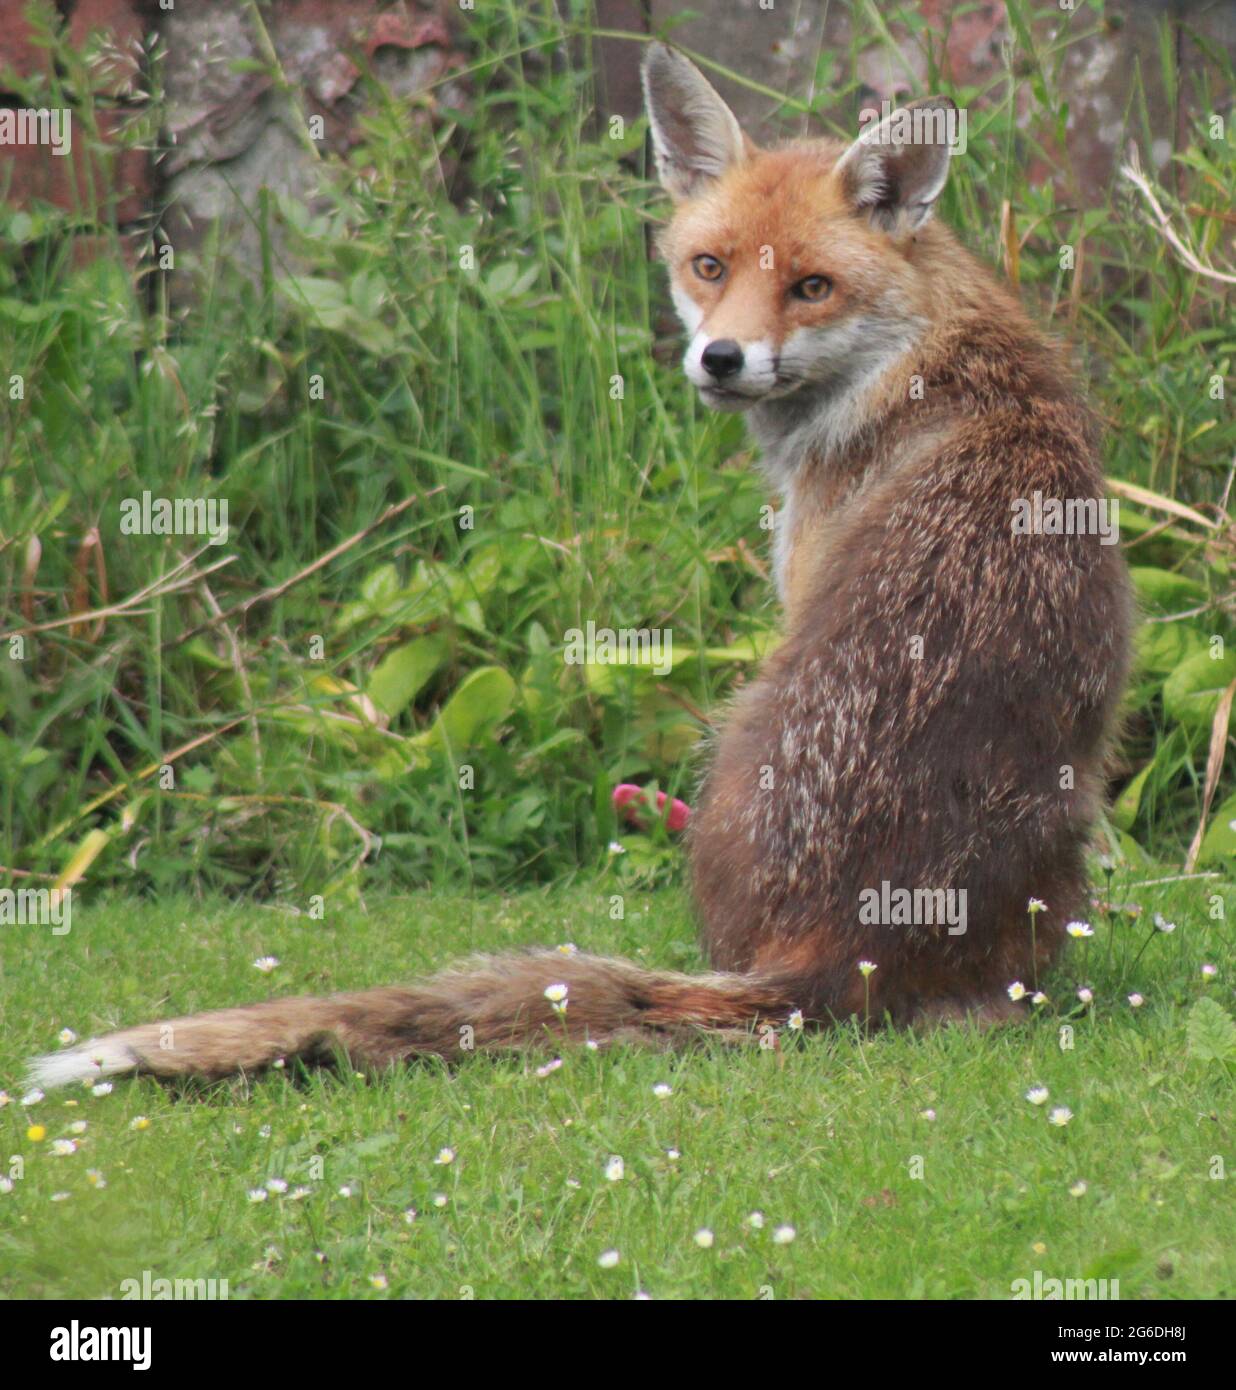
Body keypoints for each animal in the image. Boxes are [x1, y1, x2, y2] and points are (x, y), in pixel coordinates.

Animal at [28, 44, 1131, 1092]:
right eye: (709, 266)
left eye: (812, 287)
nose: (721, 359)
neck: (919, 351)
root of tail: (831, 960)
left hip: (742, 738)